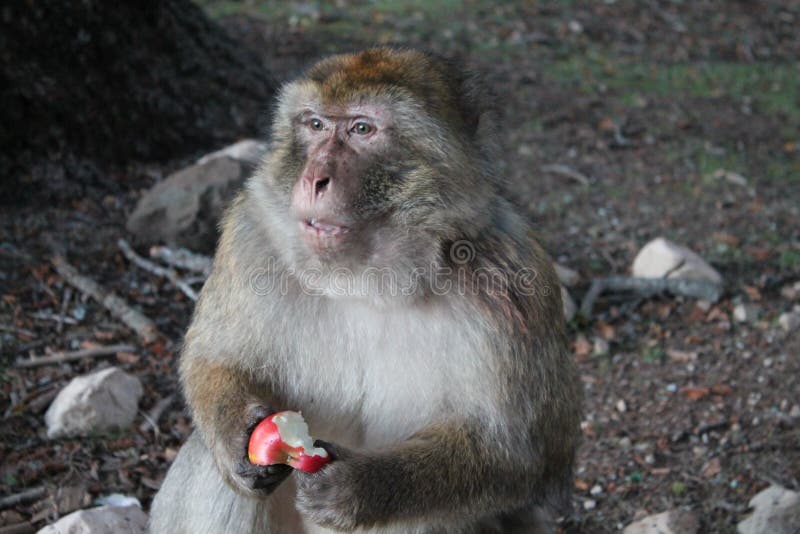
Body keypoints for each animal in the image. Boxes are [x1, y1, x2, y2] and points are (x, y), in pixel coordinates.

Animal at [149, 47, 582, 534]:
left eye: (362, 129)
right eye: (315, 124)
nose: (314, 178)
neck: (367, 282)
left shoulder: (512, 285)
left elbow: (523, 456)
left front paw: (358, 486)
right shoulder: (249, 236)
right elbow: (213, 357)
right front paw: (235, 433)